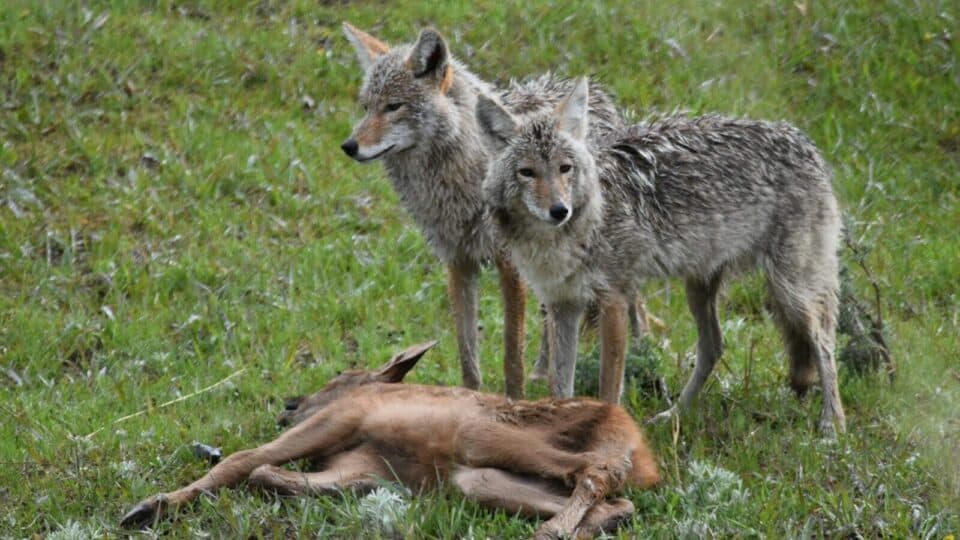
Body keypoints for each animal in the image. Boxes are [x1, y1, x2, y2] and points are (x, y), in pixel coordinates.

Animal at [120, 342, 661, 539]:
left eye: (340, 374)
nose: (289, 405)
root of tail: (641, 450)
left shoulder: (343, 417)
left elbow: (244, 461)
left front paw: (149, 506)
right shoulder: (359, 458)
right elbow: (272, 475)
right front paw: (362, 493)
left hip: (482, 432)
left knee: (597, 469)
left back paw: (551, 533)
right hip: (477, 477)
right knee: (618, 501)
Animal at [339, 23, 633, 397]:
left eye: (394, 106)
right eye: (366, 107)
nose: (349, 146)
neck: (456, 184)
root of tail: (596, 91)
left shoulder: (510, 267)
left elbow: (512, 355)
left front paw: (514, 400)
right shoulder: (458, 262)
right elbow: (467, 353)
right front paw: (469, 398)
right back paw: (543, 372)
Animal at [478, 79, 846, 436]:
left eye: (564, 168)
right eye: (527, 172)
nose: (559, 210)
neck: (563, 239)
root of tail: (804, 142)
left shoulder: (614, 299)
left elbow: (608, 388)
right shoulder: (562, 305)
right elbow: (560, 385)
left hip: (793, 292)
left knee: (826, 344)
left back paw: (833, 425)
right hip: (699, 290)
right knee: (714, 347)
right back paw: (674, 415)